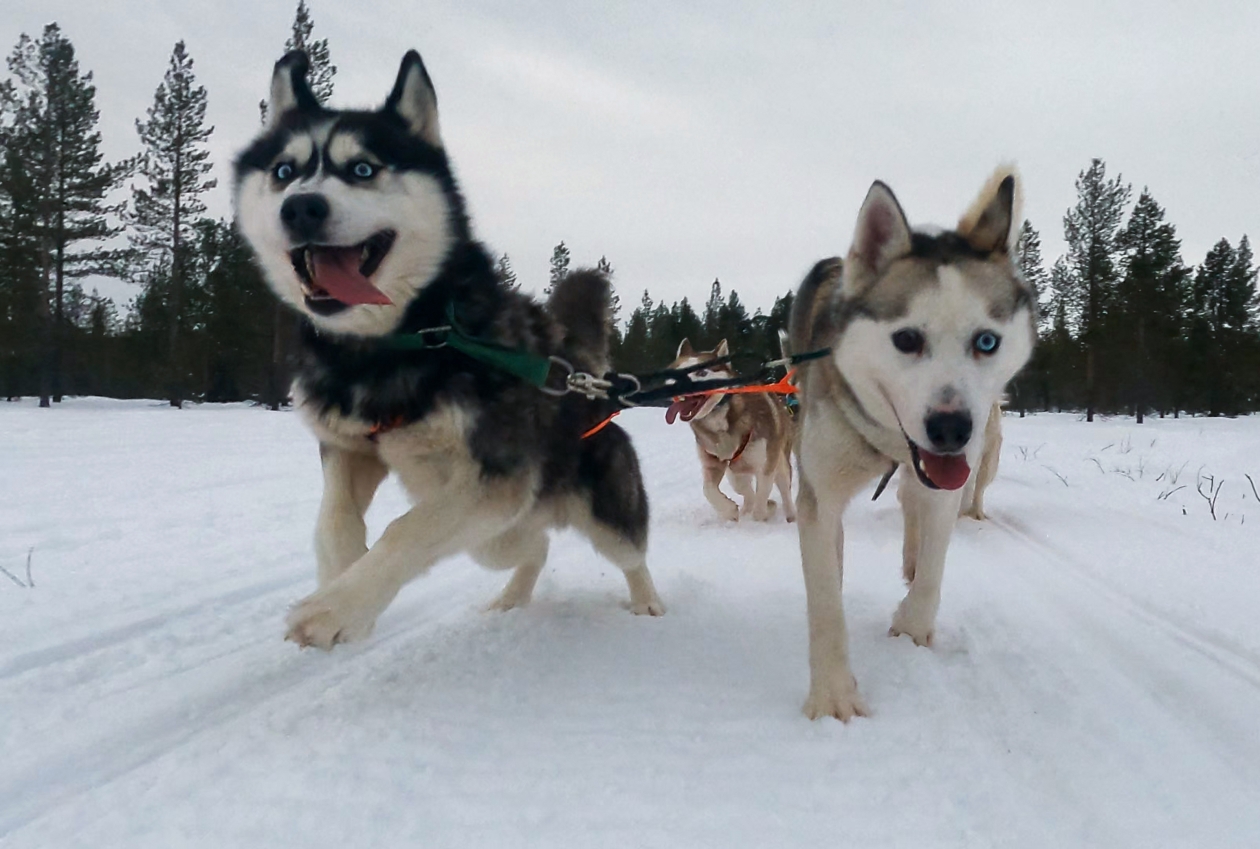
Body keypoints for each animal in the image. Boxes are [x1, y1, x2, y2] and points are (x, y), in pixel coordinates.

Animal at [233, 51, 665, 649]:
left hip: (591, 515)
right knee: (531, 547)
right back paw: (512, 597)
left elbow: (405, 530)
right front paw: (342, 581)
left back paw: (647, 603)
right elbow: (333, 522)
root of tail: (583, 372)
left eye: (363, 168)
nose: (300, 208)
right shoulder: (346, 447)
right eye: (282, 171)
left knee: (628, 554)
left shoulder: (497, 479)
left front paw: (335, 609)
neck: (399, 342)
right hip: (500, 530)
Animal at [665, 337, 791, 521]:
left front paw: (764, 511)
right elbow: (708, 490)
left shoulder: (766, 464)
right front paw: (729, 510)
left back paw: (791, 515)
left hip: (779, 461)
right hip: (735, 470)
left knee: (784, 487)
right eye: (676, 374)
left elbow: (761, 501)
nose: (676, 388)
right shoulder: (712, 463)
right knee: (743, 487)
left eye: (702, 373)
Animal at [791, 168, 1038, 715]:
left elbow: (934, 564)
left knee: (912, 505)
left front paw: (912, 624)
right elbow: (825, 600)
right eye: (906, 339)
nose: (951, 429)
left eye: (986, 342)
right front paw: (834, 694)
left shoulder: (951, 479)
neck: (885, 441)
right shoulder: (819, 492)